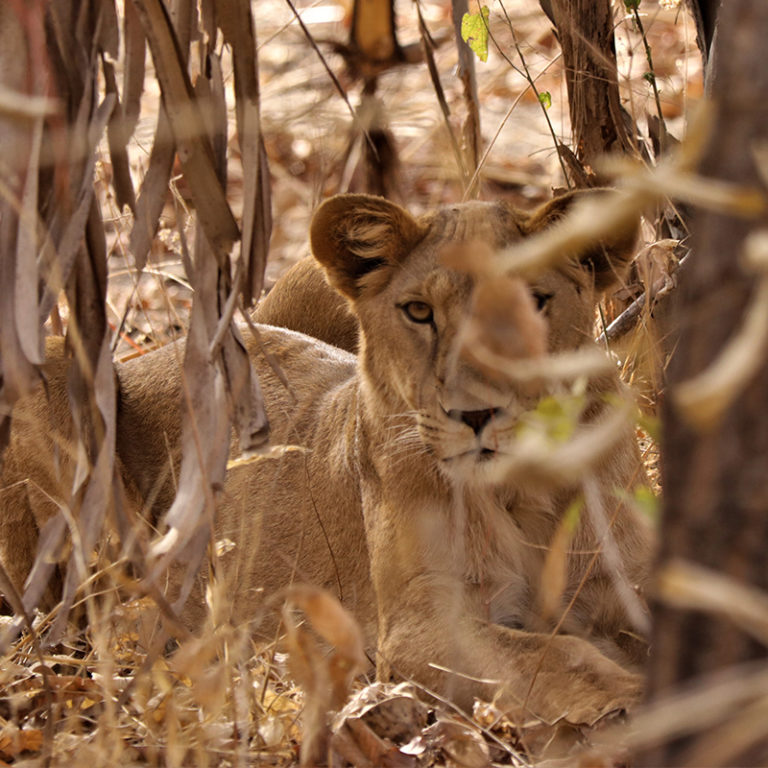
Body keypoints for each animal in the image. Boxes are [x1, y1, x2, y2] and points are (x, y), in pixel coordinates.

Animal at [1, 191, 652, 727]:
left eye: (533, 303)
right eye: (420, 312)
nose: (475, 413)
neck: (526, 489)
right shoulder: (415, 628)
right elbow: (555, 654)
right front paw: (635, 700)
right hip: (53, 368)